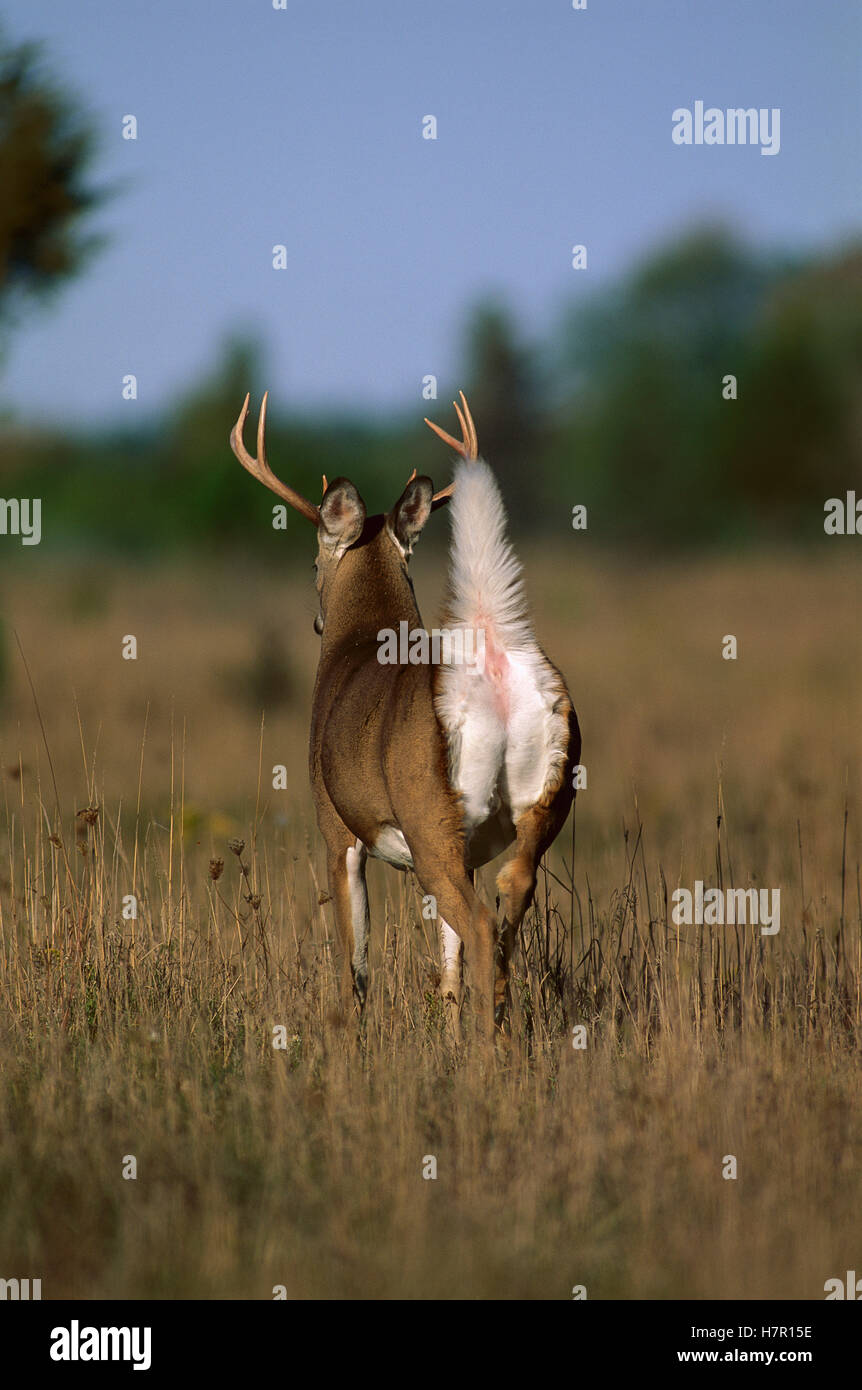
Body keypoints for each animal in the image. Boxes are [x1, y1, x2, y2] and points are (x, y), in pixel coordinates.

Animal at [230, 389, 580, 1039]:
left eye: (310, 564)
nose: (314, 618)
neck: (361, 642)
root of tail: (492, 655)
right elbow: (444, 962)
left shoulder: (336, 827)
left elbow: (357, 962)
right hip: (534, 808)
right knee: (508, 900)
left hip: (428, 817)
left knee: (480, 927)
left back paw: (489, 1050)